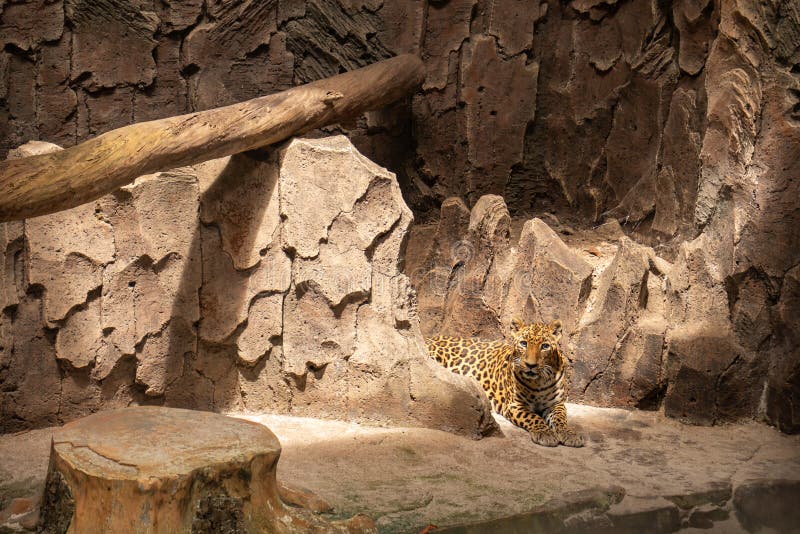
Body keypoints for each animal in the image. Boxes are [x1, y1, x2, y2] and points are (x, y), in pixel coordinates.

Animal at [426, 318, 584, 447]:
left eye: (544, 346)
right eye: (523, 344)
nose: (530, 365)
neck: (539, 381)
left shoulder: (556, 404)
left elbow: (560, 419)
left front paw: (569, 434)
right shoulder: (515, 405)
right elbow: (534, 417)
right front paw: (545, 433)